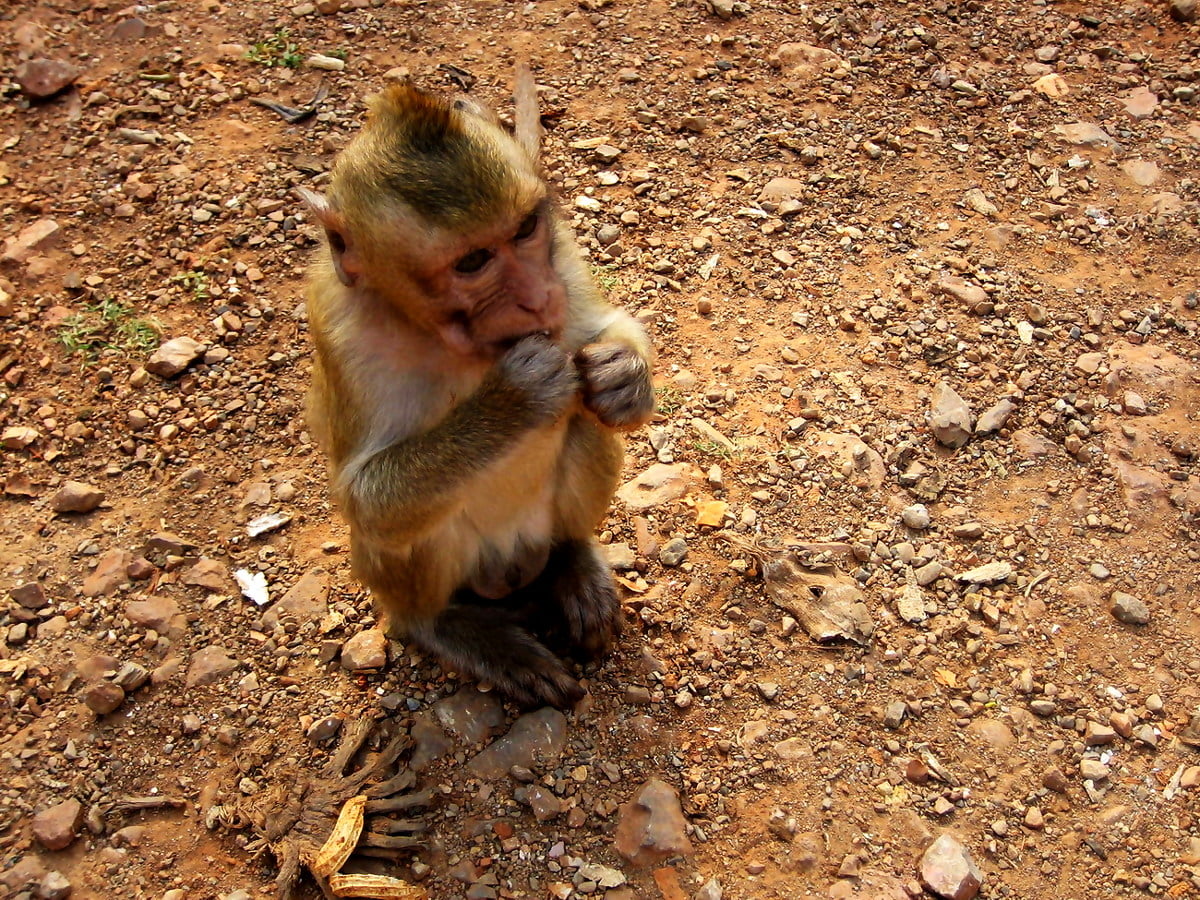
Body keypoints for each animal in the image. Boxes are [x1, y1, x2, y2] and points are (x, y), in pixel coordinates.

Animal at [298, 71, 655, 708]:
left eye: (525, 229)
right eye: (474, 261)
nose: (539, 298)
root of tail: (513, 568)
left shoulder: (560, 253)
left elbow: (600, 328)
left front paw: (622, 375)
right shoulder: (340, 331)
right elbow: (365, 502)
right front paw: (513, 398)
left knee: (585, 430)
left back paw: (572, 560)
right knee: (407, 544)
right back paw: (446, 626)